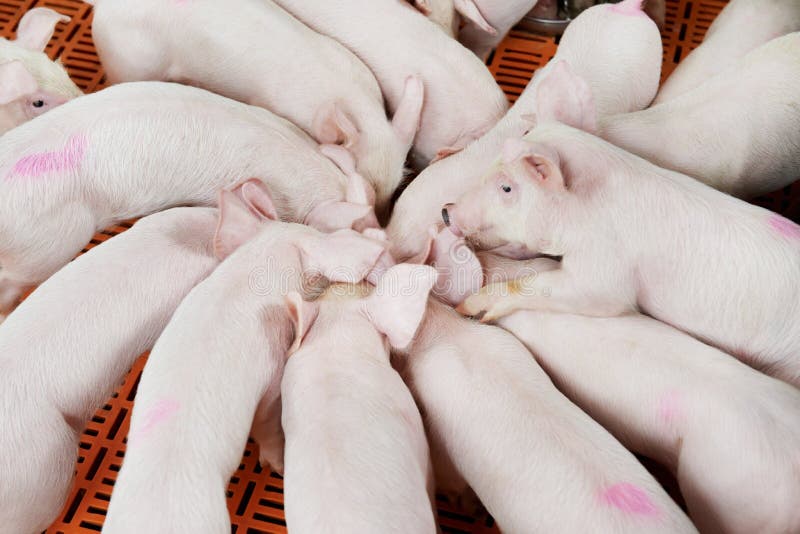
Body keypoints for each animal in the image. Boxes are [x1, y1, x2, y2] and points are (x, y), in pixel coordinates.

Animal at [88, 0, 424, 215]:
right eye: (362, 178)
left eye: (396, 186)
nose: (381, 219)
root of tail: (105, 6)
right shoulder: (271, 104)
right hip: (127, 61)